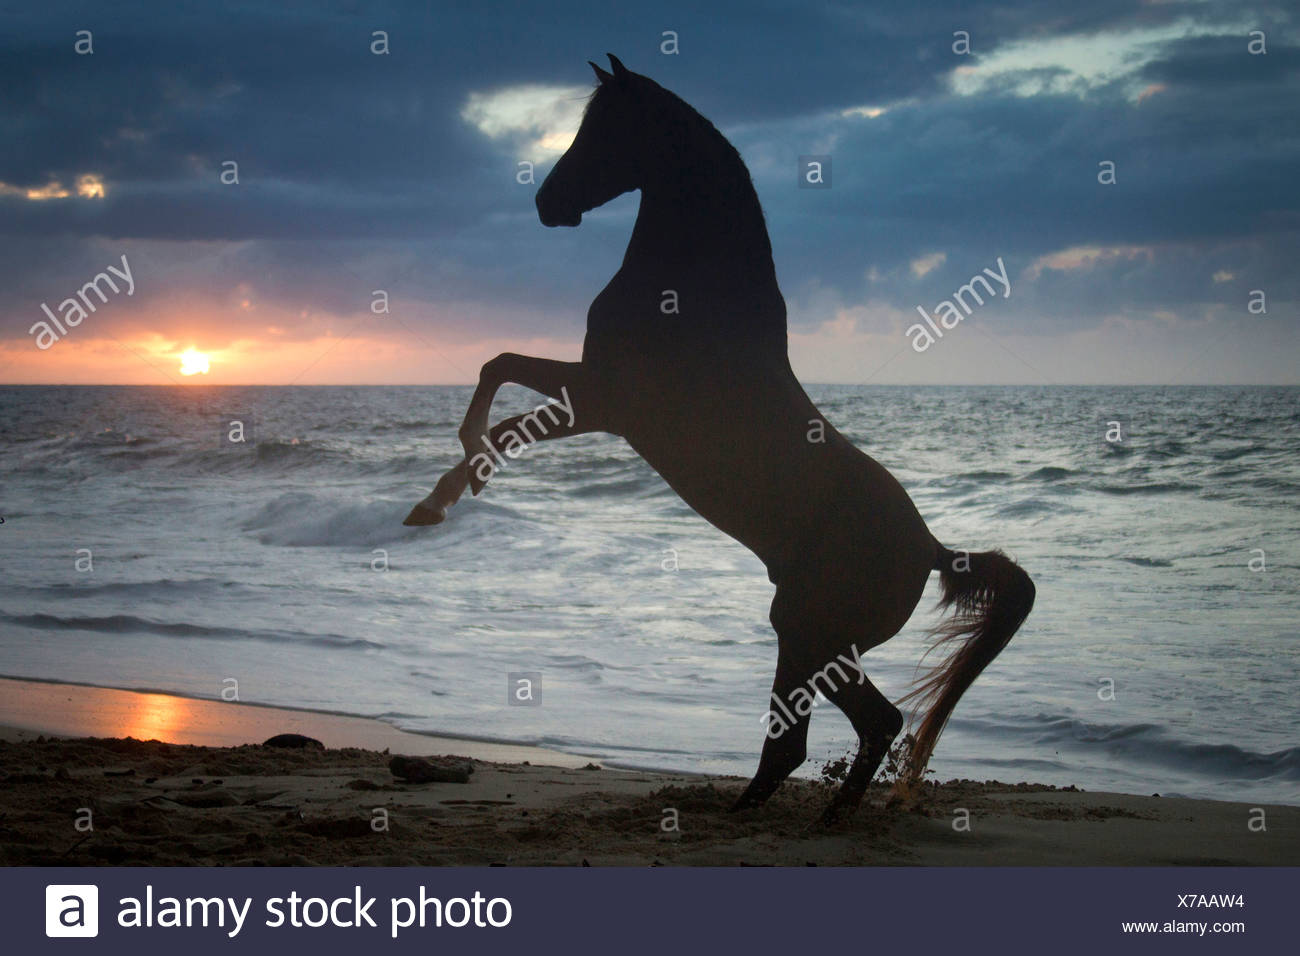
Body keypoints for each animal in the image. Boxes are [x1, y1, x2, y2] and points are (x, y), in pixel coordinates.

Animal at [405, 54, 1035, 822]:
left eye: (605, 128)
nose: (547, 203)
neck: (692, 292)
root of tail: (934, 550)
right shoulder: (596, 397)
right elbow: (498, 379)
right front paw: (443, 495)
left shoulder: (606, 400)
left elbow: (500, 398)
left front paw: (448, 491)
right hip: (810, 636)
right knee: (815, 736)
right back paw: (764, 809)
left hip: (810, 630)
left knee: (865, 724)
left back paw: (820, 818)